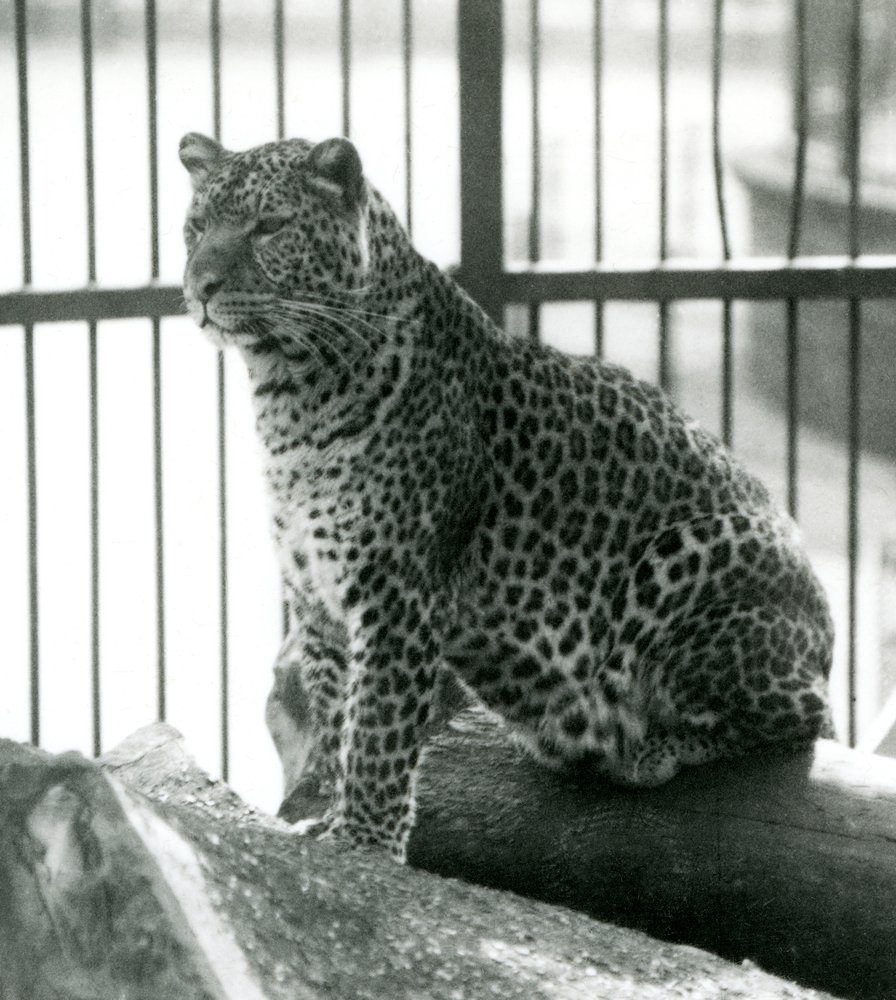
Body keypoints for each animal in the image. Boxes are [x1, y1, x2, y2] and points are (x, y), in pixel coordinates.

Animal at [179, 131, 834, 863]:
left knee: (805, 717)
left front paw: (365, 841)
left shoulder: (397, 590)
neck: (286, 393)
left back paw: (650, 743)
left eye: (269, 227)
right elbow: (335, 714)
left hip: (690, 557)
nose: (200, 287)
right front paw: (324, 813)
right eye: (197, 227)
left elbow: (376, 725)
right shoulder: (316, 597)